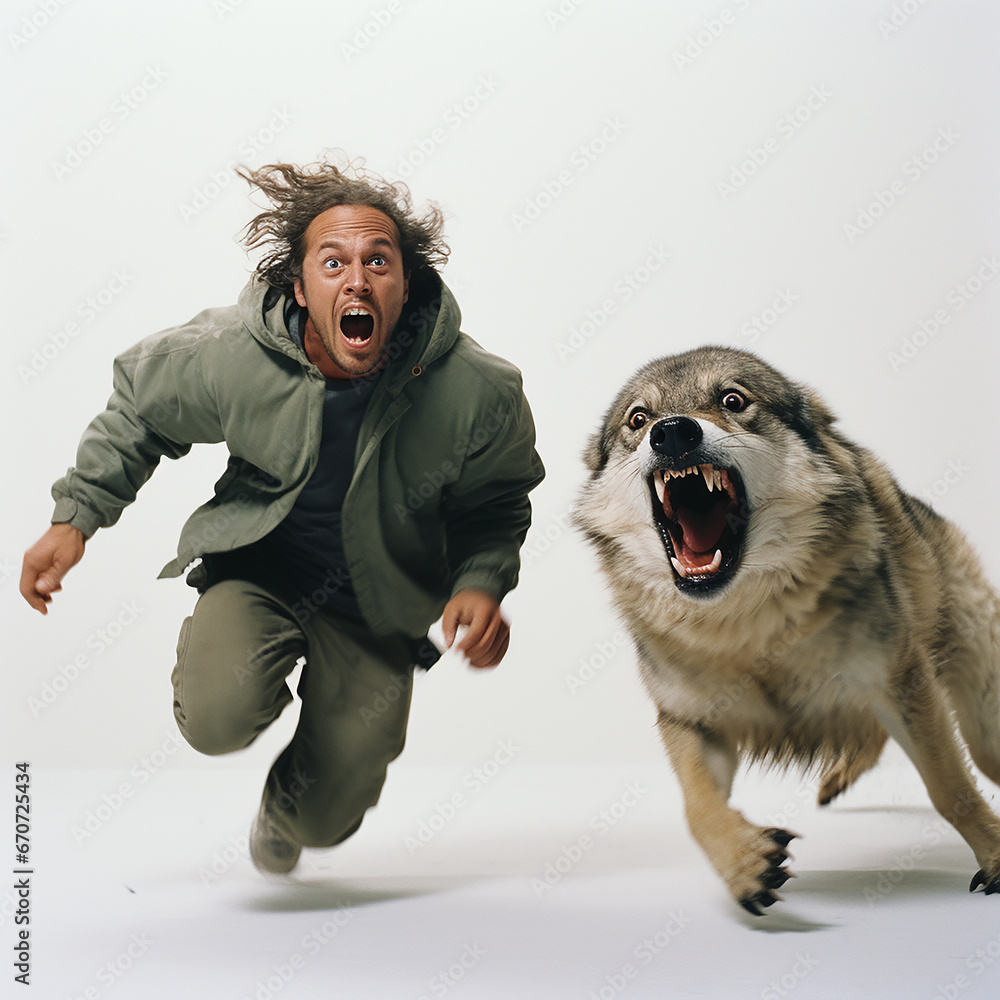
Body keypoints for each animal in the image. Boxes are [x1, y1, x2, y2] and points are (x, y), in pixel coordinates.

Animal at [574, 346, 1000, 914]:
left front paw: (996, 859)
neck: (745, 624)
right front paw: (744, 864)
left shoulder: (903, 686)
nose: (672, 432)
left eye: (733, 400)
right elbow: (698, 808)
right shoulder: (690, 723)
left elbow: (952, 790)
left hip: (978, 725)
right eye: (638, 419)